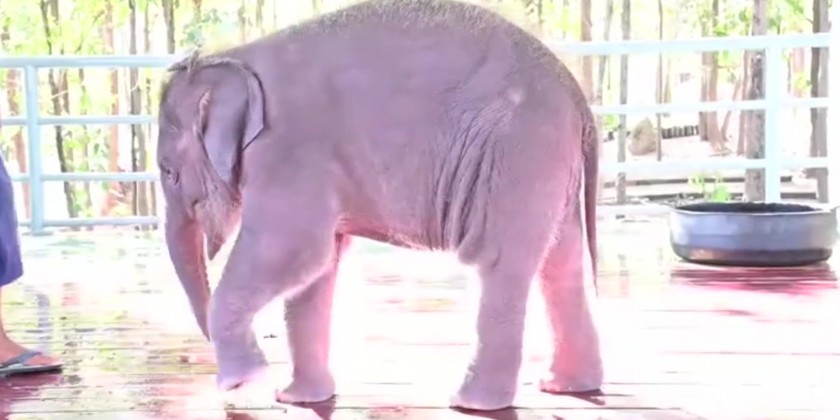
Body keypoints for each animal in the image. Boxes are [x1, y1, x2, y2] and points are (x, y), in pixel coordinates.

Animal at [155, 0, 602, 411]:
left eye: (168, 171)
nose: (224, 377)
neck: (233, 58)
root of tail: (577, 95)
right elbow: (317, 267)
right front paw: (294, 397)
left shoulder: (288, 151)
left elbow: (292, 250)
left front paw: (244, 382)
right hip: (545, 161)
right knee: (560, 264)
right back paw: (564, 386)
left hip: (517, 154)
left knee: (498, 262)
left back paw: (471, 403)